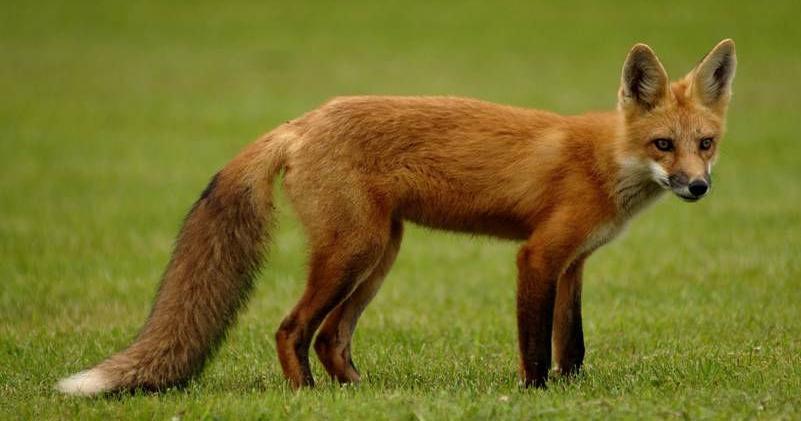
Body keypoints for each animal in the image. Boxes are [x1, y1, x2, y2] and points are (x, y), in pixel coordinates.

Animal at [57, 39, 736, 395]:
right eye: (663, 145)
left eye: (705, 144)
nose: (699, 187)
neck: (606, 161)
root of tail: (301, 122)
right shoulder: (538, 256)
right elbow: (536, 348)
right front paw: (536, 397)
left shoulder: (573, 264)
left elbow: (572, 343)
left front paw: (572, 395)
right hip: (352, 252)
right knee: (290, 329)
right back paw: (304, 397)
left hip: (381, 254)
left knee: (330, 337)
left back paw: (356, 394)